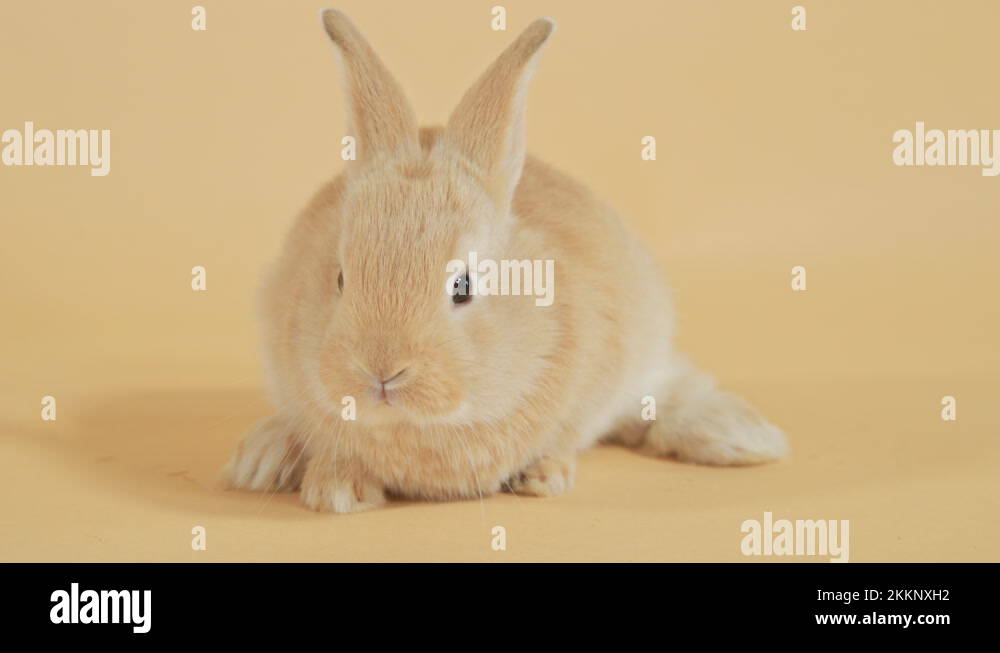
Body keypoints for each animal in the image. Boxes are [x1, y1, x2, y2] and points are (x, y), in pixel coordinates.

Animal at [223, 9, 789, 513]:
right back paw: (260, 460)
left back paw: (747, 438)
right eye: (340, 277)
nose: (381, 372)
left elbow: (567, 436)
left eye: (463, 287)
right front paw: (337, 490)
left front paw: (543, 476)